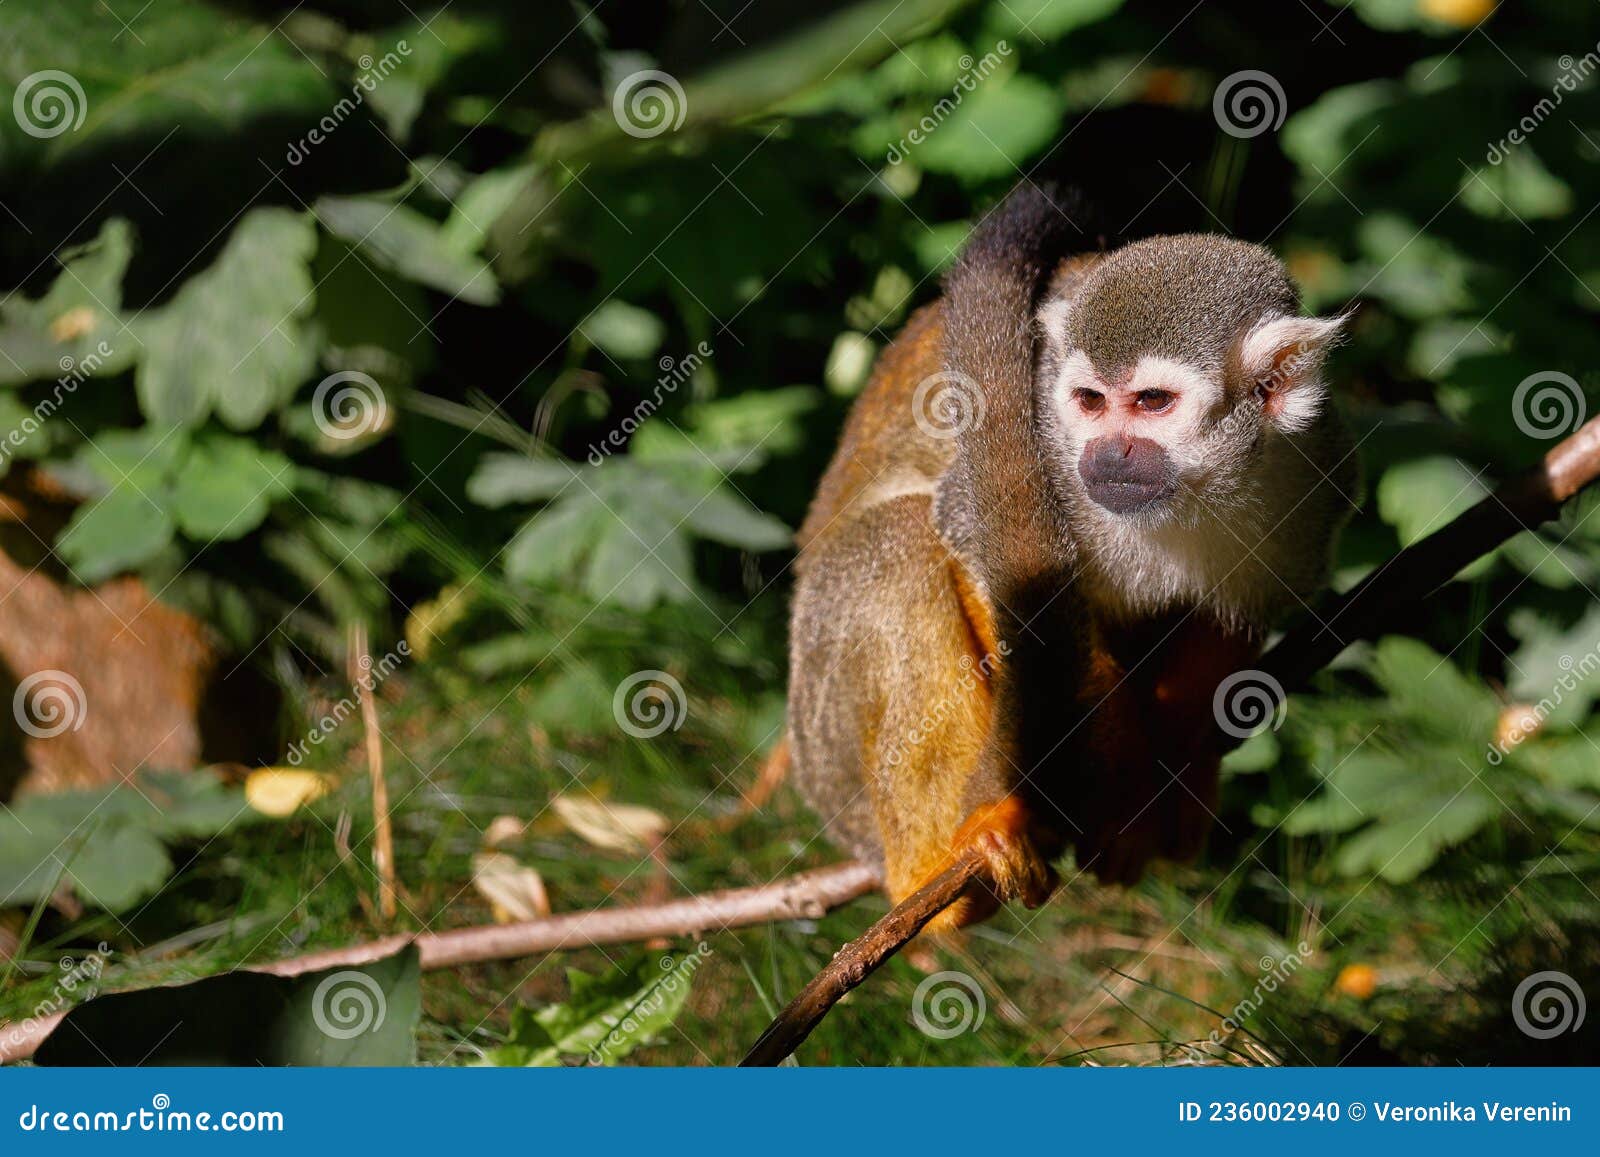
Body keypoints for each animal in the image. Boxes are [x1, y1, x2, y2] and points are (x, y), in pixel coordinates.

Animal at [786, 182, 1357, 930]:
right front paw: (1108, 758)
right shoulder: (1047, 455)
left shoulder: (1314, 474)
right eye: (1088, 401)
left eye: (1152, 402)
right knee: (899, 538)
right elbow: (988, 567)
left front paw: (1178, 756)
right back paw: (943, 866)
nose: (1108, 455)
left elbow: (1233, 613)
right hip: (827, 747)